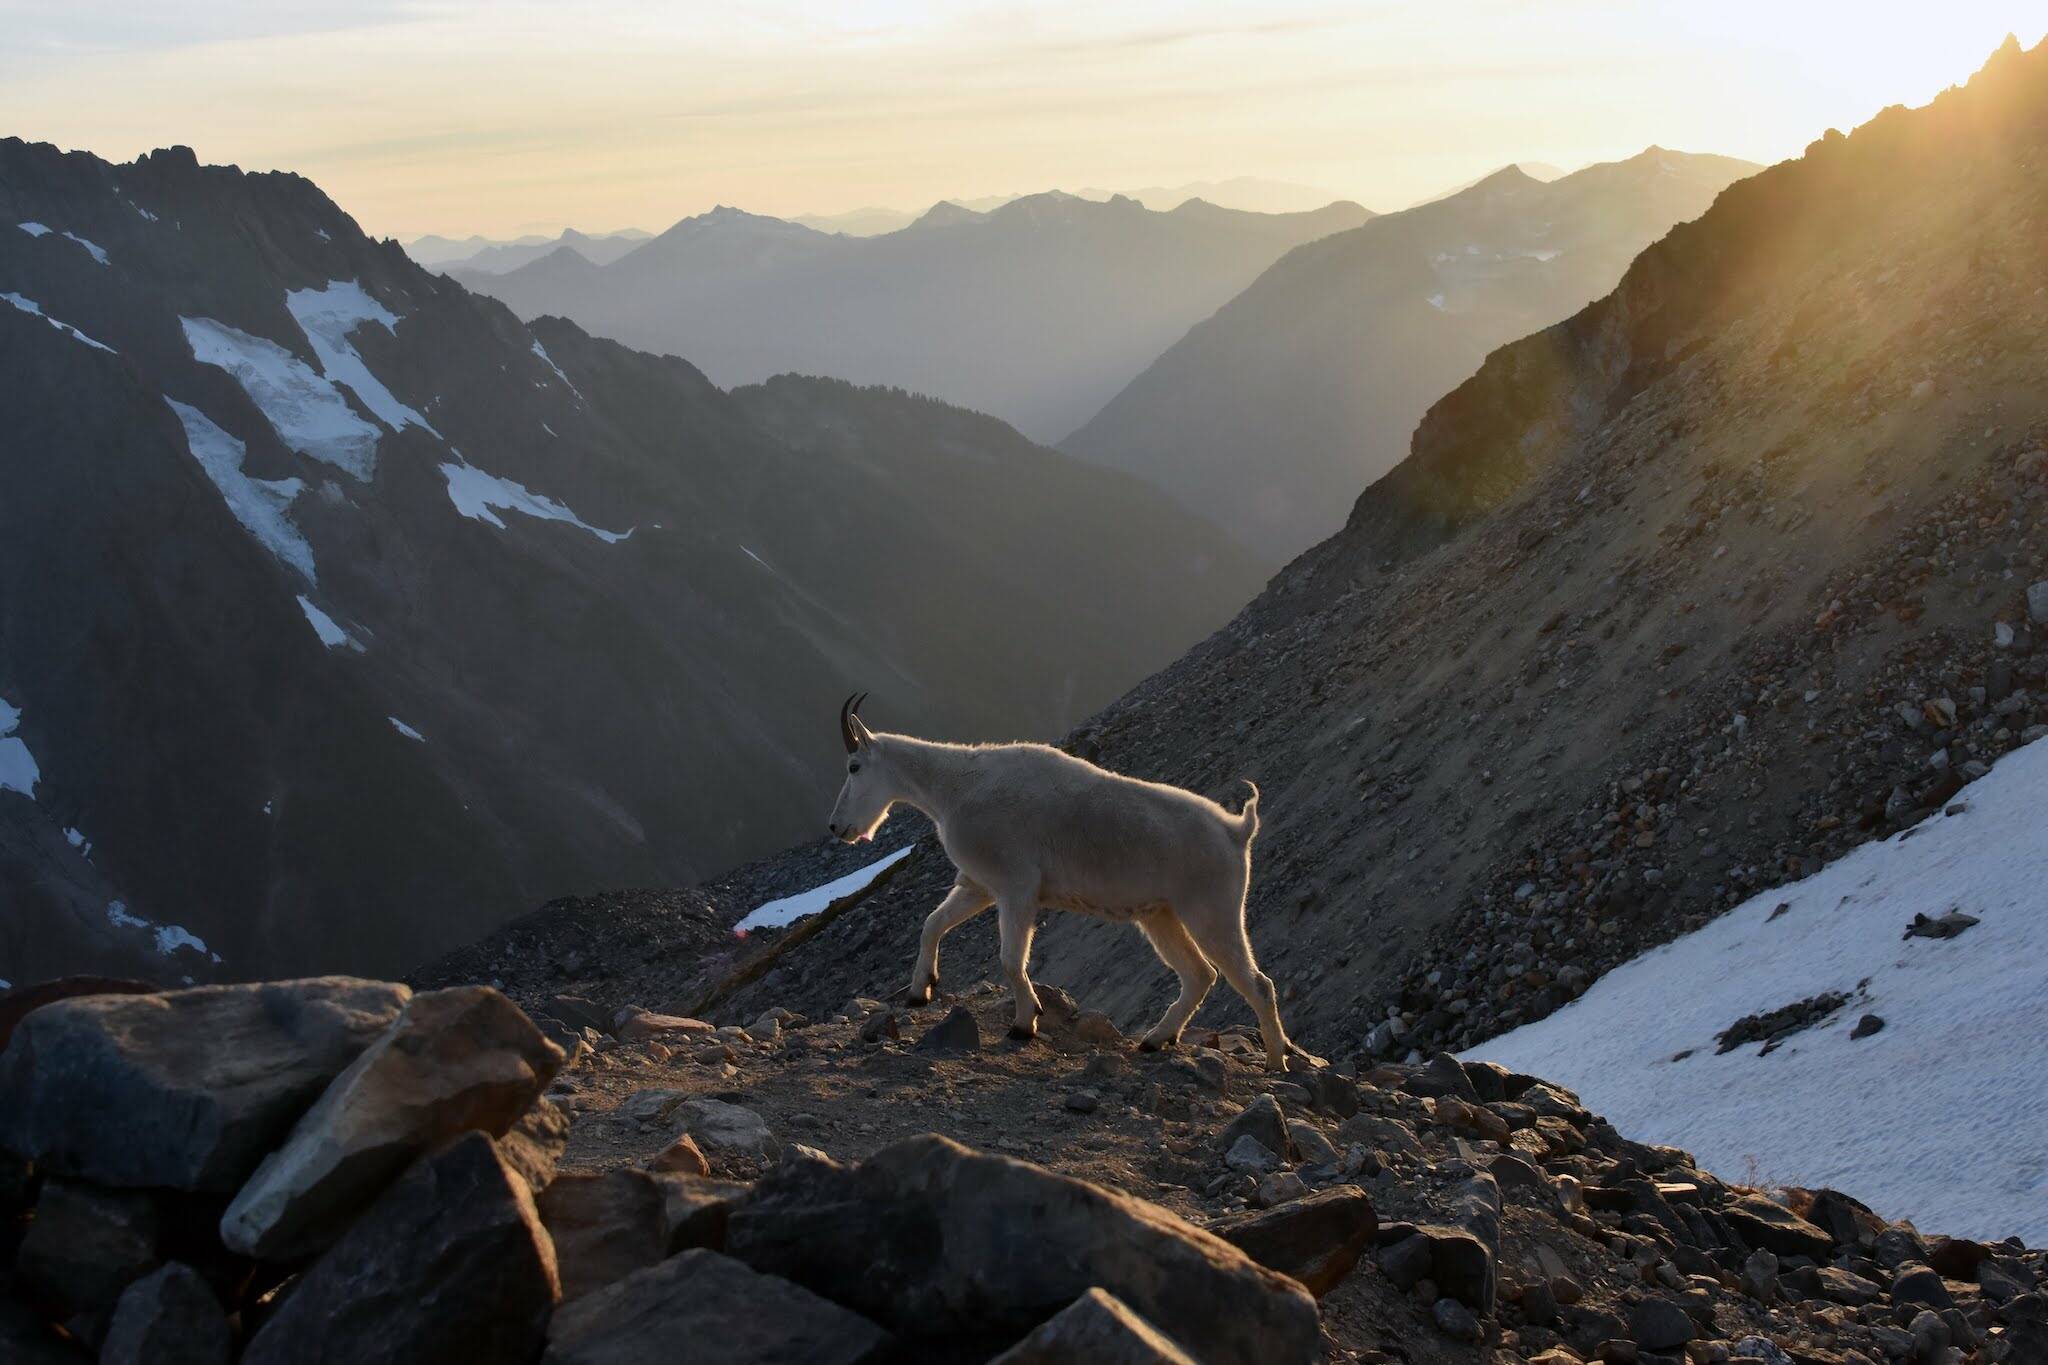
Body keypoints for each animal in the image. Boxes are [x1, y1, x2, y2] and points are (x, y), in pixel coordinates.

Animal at [826, 694, 1297, 1070]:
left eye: (854, 765)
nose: (836, 827)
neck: (954, 788)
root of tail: (1237, 831)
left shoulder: (1016, 888)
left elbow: (1010, 959)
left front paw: (1023, 1024)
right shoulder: (978, 885)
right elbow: (932, 924)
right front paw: (920, 990)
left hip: (1211, 911)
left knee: (1257, 983)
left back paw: (1276, 1062)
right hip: (1161, 915)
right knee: (1199, 975)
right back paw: (1156, 1039)